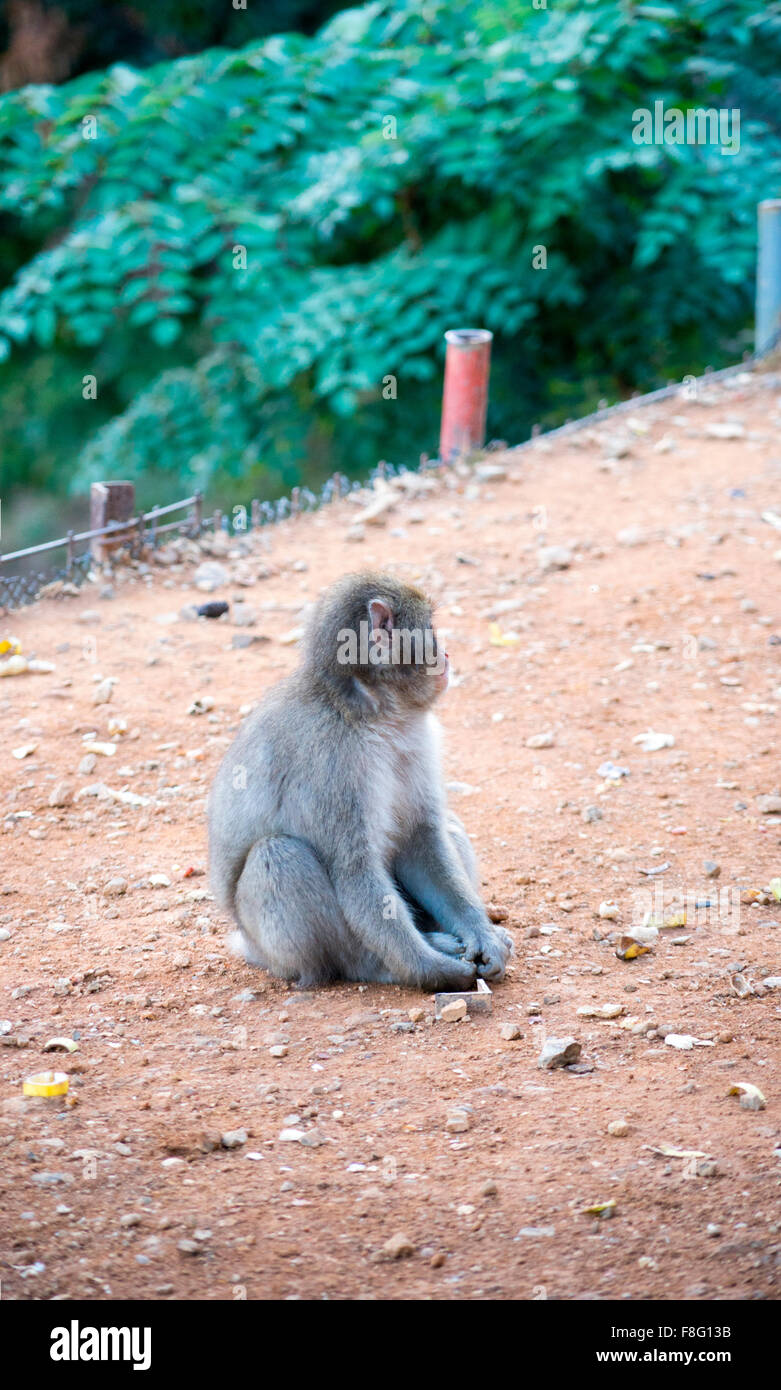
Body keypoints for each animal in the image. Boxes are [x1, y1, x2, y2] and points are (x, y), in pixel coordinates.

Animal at [208, 571, 513, 991]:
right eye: (430, 629)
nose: (448, 656)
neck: (373, 712)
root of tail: (253, 949)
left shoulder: (418, 737)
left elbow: (422, 838)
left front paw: (482, 936)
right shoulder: (332, 762)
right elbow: (354, 869)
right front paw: (430, 969)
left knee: (446, 825)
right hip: (278, 951)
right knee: (279, 855)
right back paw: (377, 965)